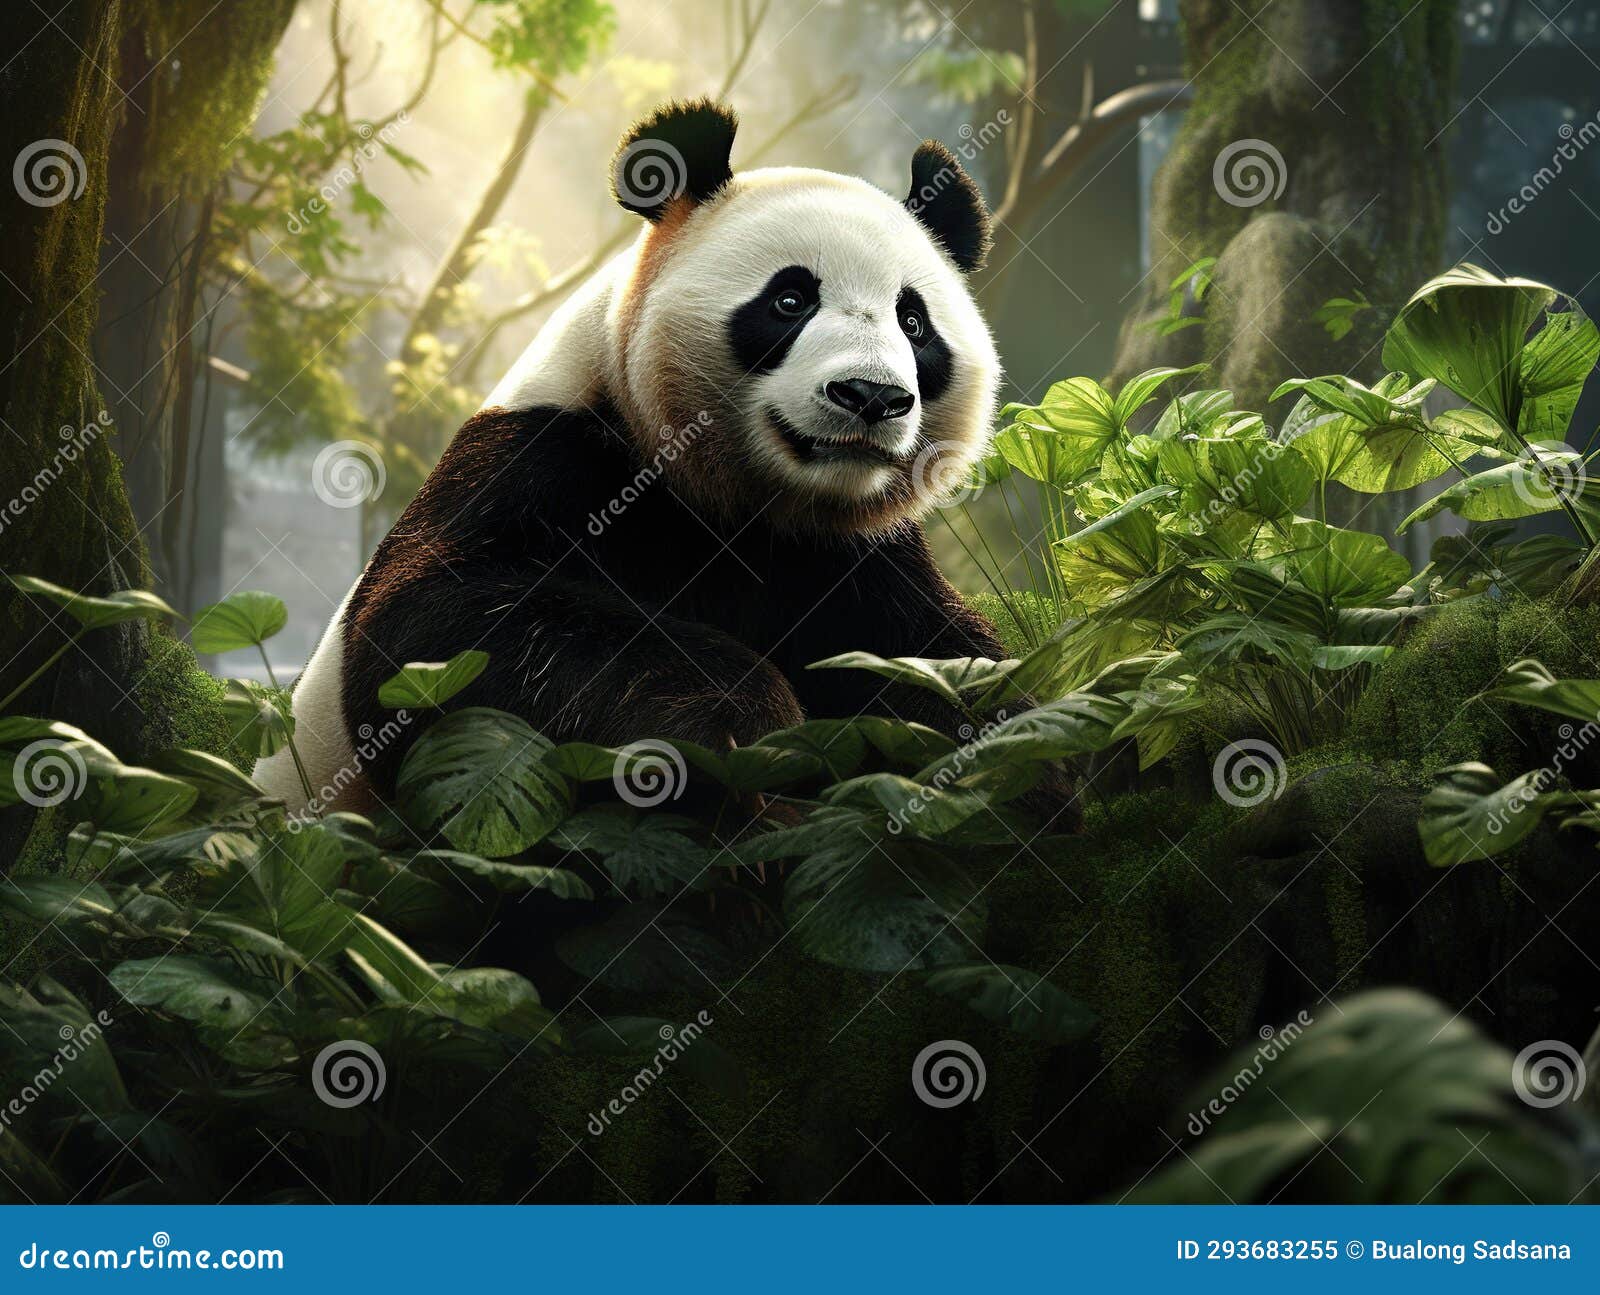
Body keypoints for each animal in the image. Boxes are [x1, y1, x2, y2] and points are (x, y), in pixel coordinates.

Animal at [256, 99, 1069, 819]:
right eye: (790, 300)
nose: (870, 396)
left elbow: (933, 658)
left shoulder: (856, 558)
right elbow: (432, 626)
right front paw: (744, 729)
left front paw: (1021, 770)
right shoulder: (544, 456)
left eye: (913, 322)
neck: (744, 503)